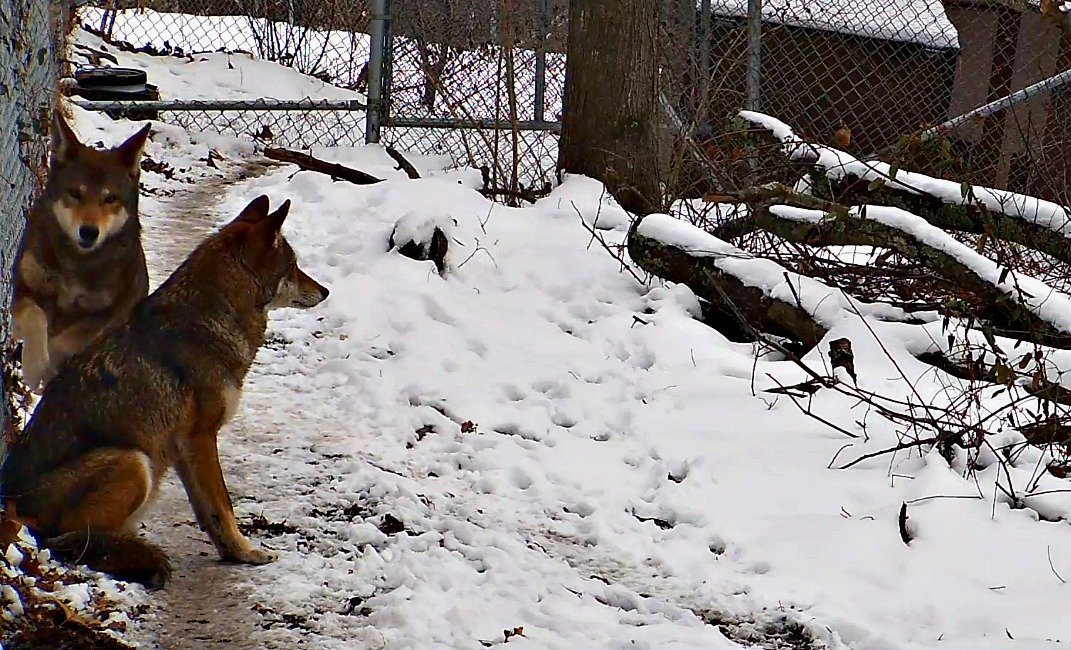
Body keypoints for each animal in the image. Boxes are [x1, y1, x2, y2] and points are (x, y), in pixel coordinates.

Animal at [1, 195, 328, 589]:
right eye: (293, 267)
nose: (325, 291)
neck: (210, 319)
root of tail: (13, 503)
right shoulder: (201, 438)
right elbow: (224, 505)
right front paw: (248, 552)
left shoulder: (182, 447)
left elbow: (209, 512)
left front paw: (232, 553)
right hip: (134, 461)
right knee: (69, 537)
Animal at [13, 113, 152, 390]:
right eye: (75, 193)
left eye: (110, 199)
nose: (89, 232)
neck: (76, 261)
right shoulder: (23, 289)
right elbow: (35, 316)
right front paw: (34, 366)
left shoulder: (105, 314)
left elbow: (63, 342)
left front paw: (47, 367)